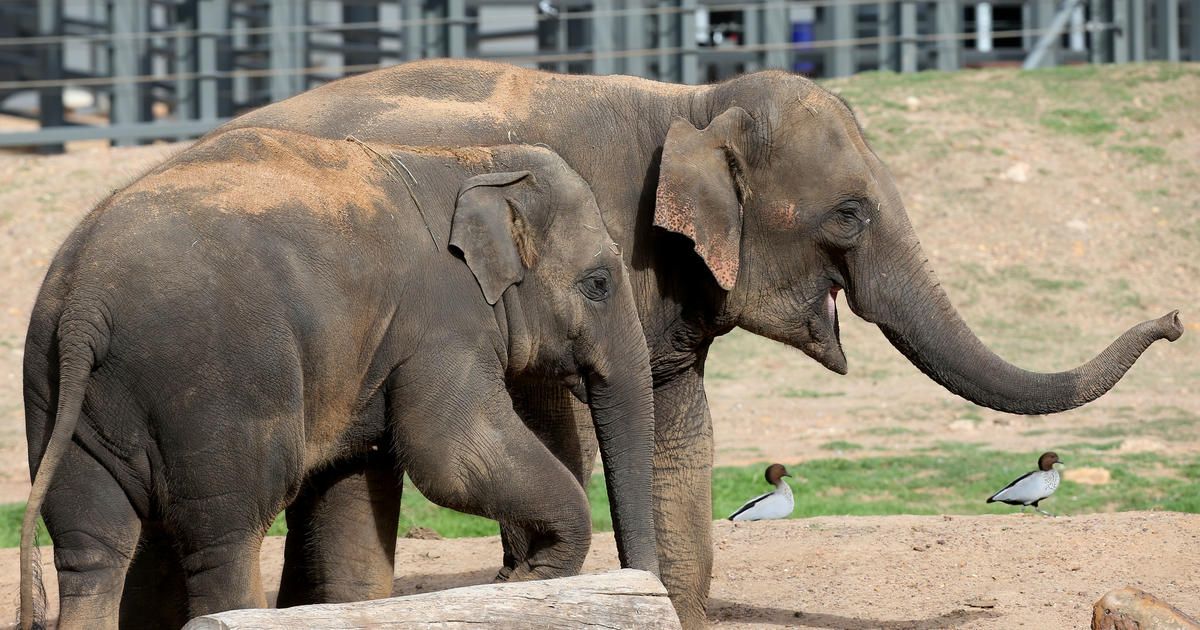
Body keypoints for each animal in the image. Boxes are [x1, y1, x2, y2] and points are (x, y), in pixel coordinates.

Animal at [19, 128, 659, 630]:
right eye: (599, 283)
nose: (511, 573)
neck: (468, 157)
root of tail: (85, 301)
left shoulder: (370, 358)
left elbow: (353, 487)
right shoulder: (441, 323)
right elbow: (451, 456)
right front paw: (533, 573)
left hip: (60, 396)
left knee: (95, 548)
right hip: (213, 390)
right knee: (222, 536)